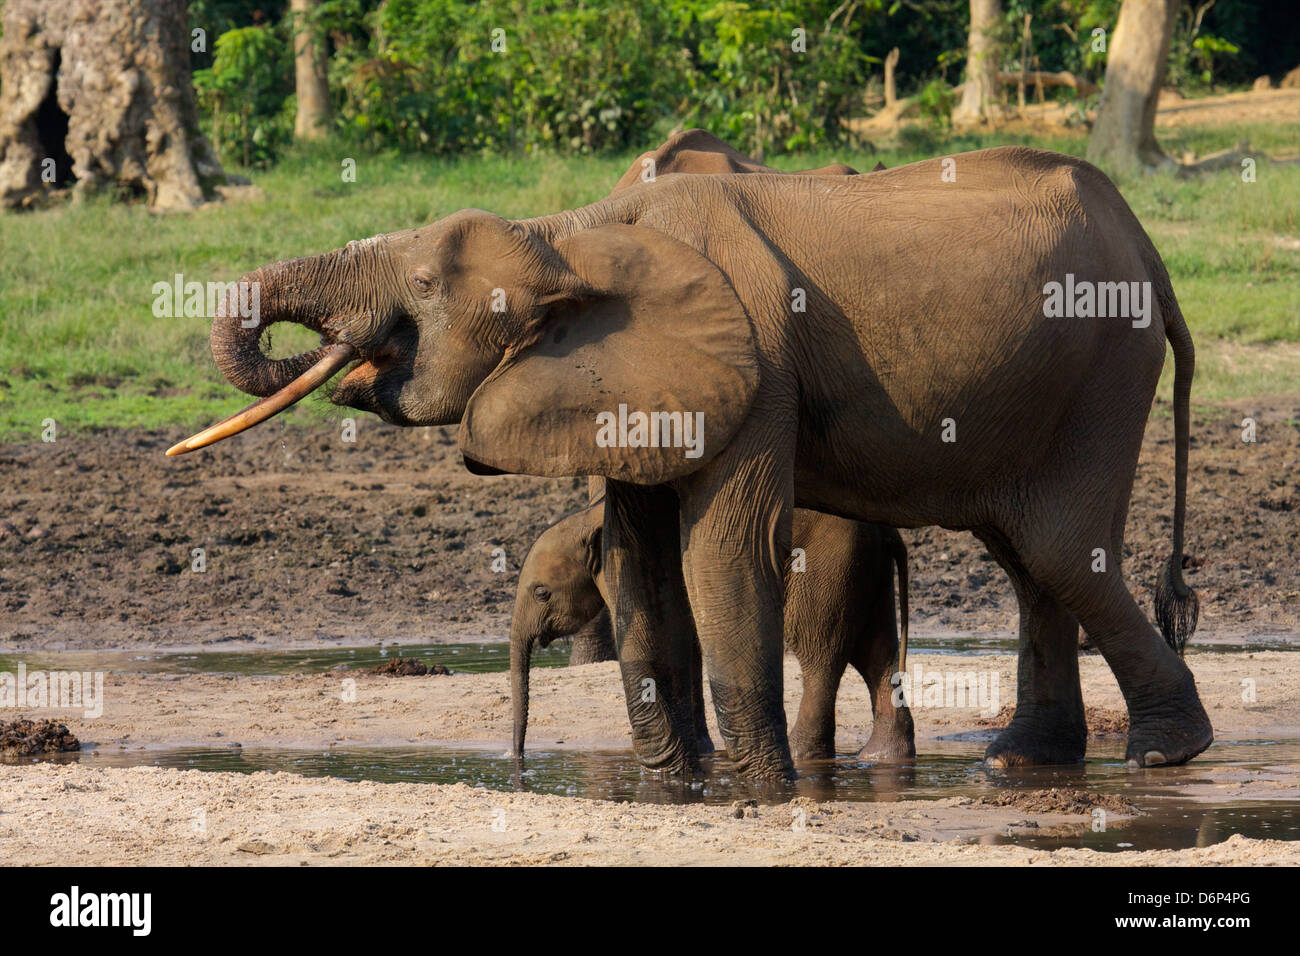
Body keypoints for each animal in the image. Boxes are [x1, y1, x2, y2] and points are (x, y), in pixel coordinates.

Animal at [509, 501, 913, 764]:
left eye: (541, 593)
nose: (517, 756)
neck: (585, 521)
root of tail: (889, 532)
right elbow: (686, 644)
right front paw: (702, 750)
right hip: (864, 569)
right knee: (876, 654)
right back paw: (882, 756)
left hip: (825, 569)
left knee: (818, 653)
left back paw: (803, 755)